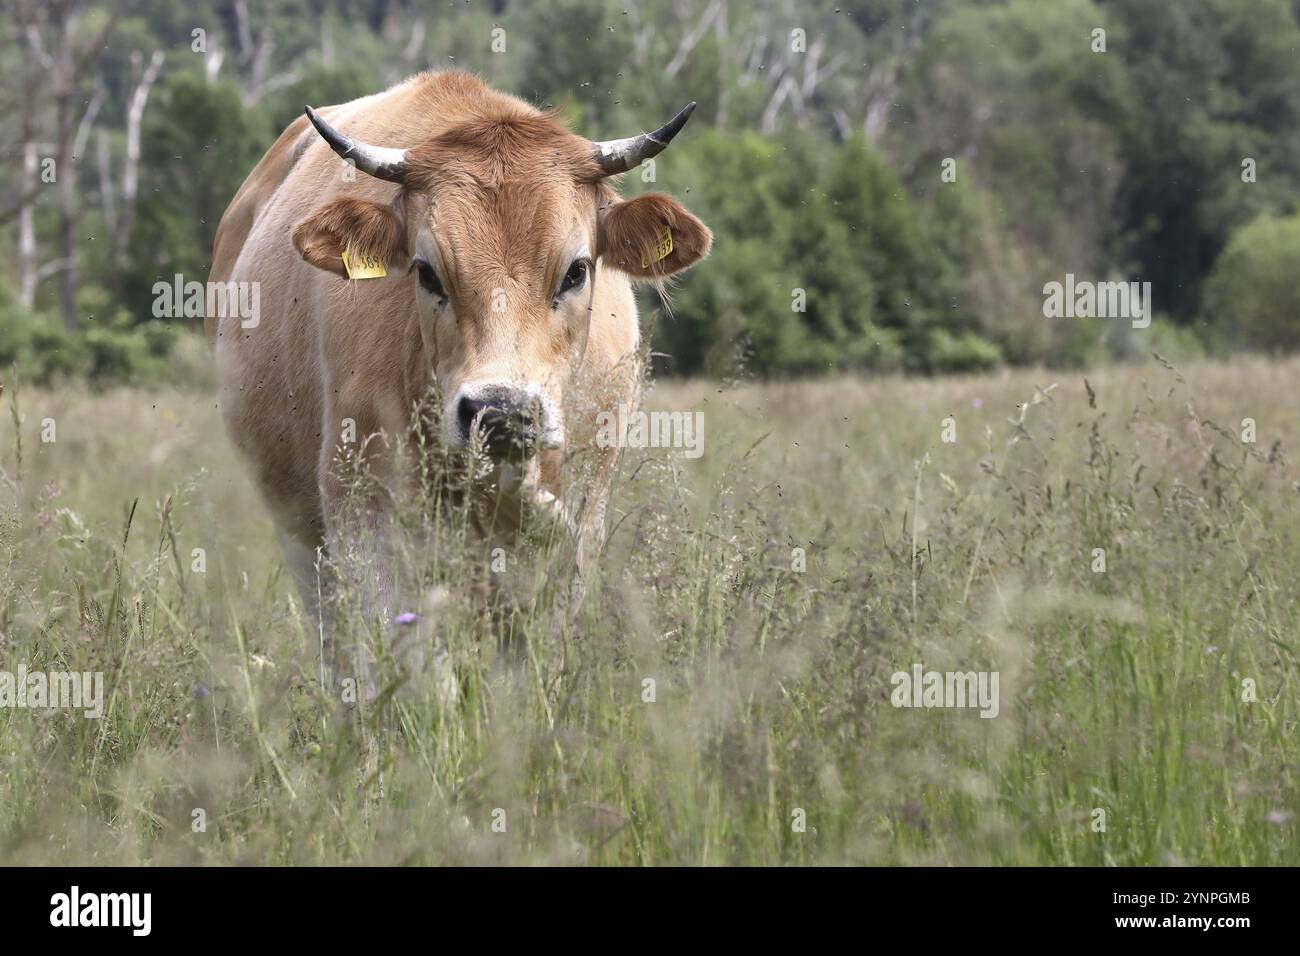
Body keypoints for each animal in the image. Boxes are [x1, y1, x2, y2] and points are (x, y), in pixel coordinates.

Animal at [207, 71, 711, 693]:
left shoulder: (576, 532)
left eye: (576, 270)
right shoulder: (366, 520)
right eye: (427, 271)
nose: (502, 412)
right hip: (301, 532)